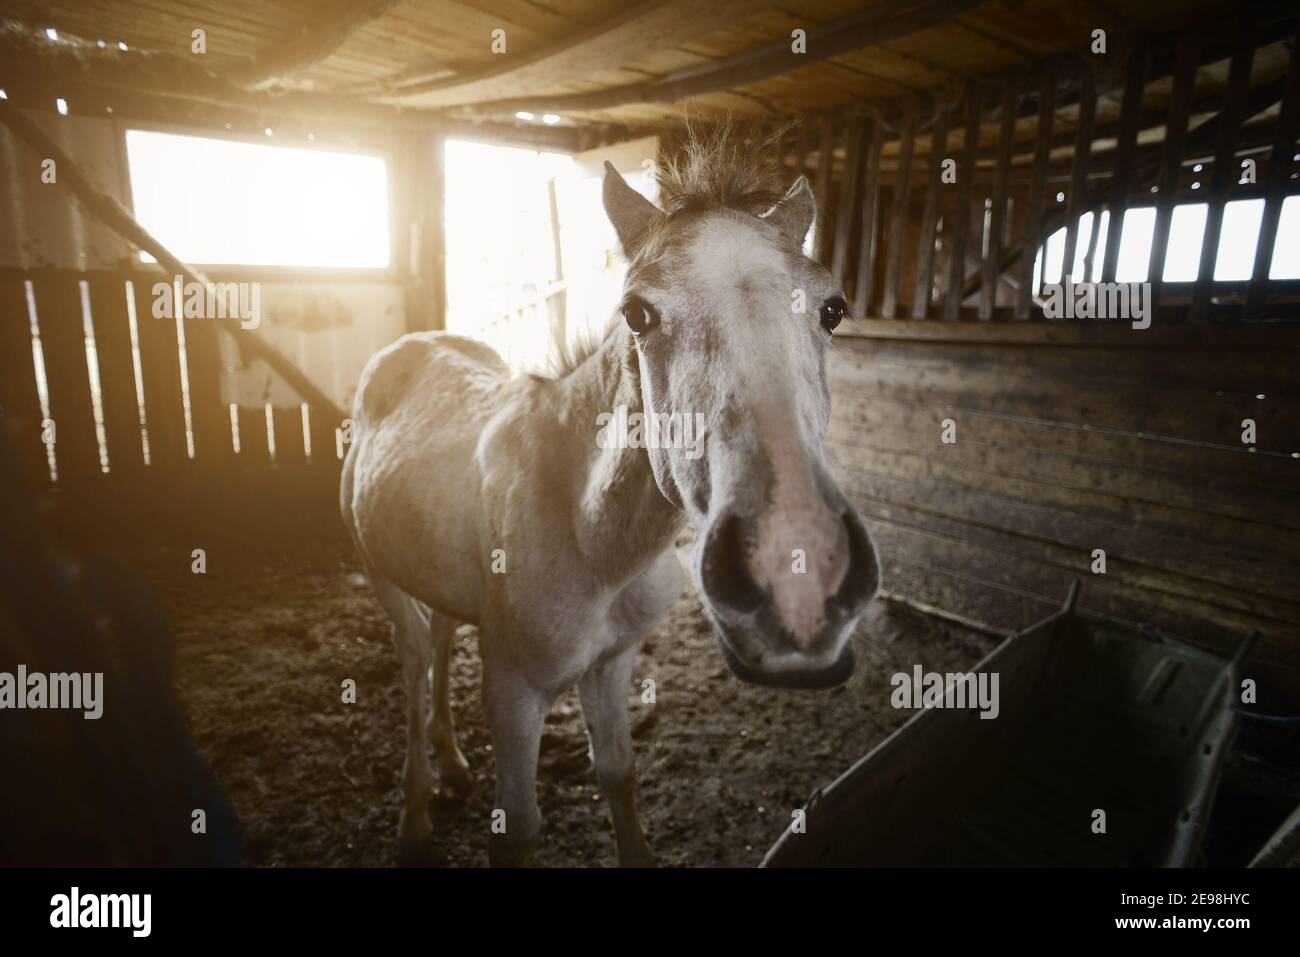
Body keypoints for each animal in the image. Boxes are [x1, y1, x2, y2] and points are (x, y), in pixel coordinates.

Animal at [341, 126, 880, 866]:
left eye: (833, 308)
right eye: (636, 312)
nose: (797, 585)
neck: (590, 534)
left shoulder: (613, 660)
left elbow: (618, 773)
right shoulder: (514, 691)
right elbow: (520, 827)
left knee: (444, 642)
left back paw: (451, 764)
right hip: (382, 576)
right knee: (417, 661)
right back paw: (417, 817)